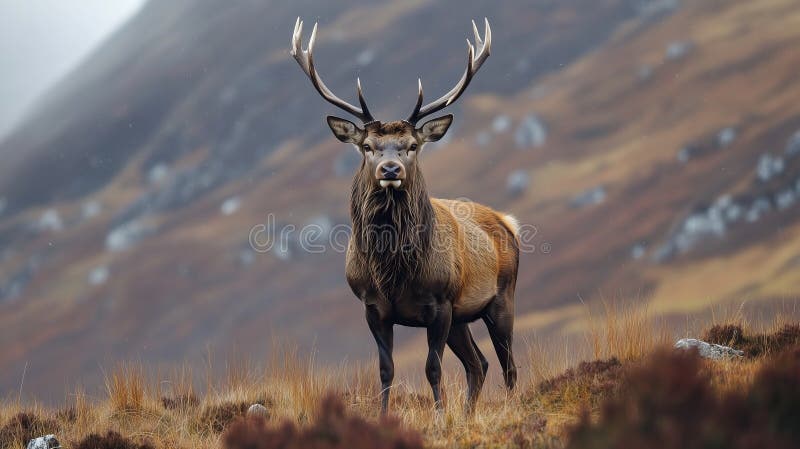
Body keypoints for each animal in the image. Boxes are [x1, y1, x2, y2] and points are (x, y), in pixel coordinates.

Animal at [290, 17, 519, 415]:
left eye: (412, 145)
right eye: (367, 146)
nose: (390, 169)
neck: (393, 272)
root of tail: (508, 222)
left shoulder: (439, 304)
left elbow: (432, 368)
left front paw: (440, 417)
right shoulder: (373, 307)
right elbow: (386, 370)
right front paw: (384, 417)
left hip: (501, 298)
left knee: (509, 365)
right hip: (461, 317)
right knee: (479, 363)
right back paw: (468, 414)